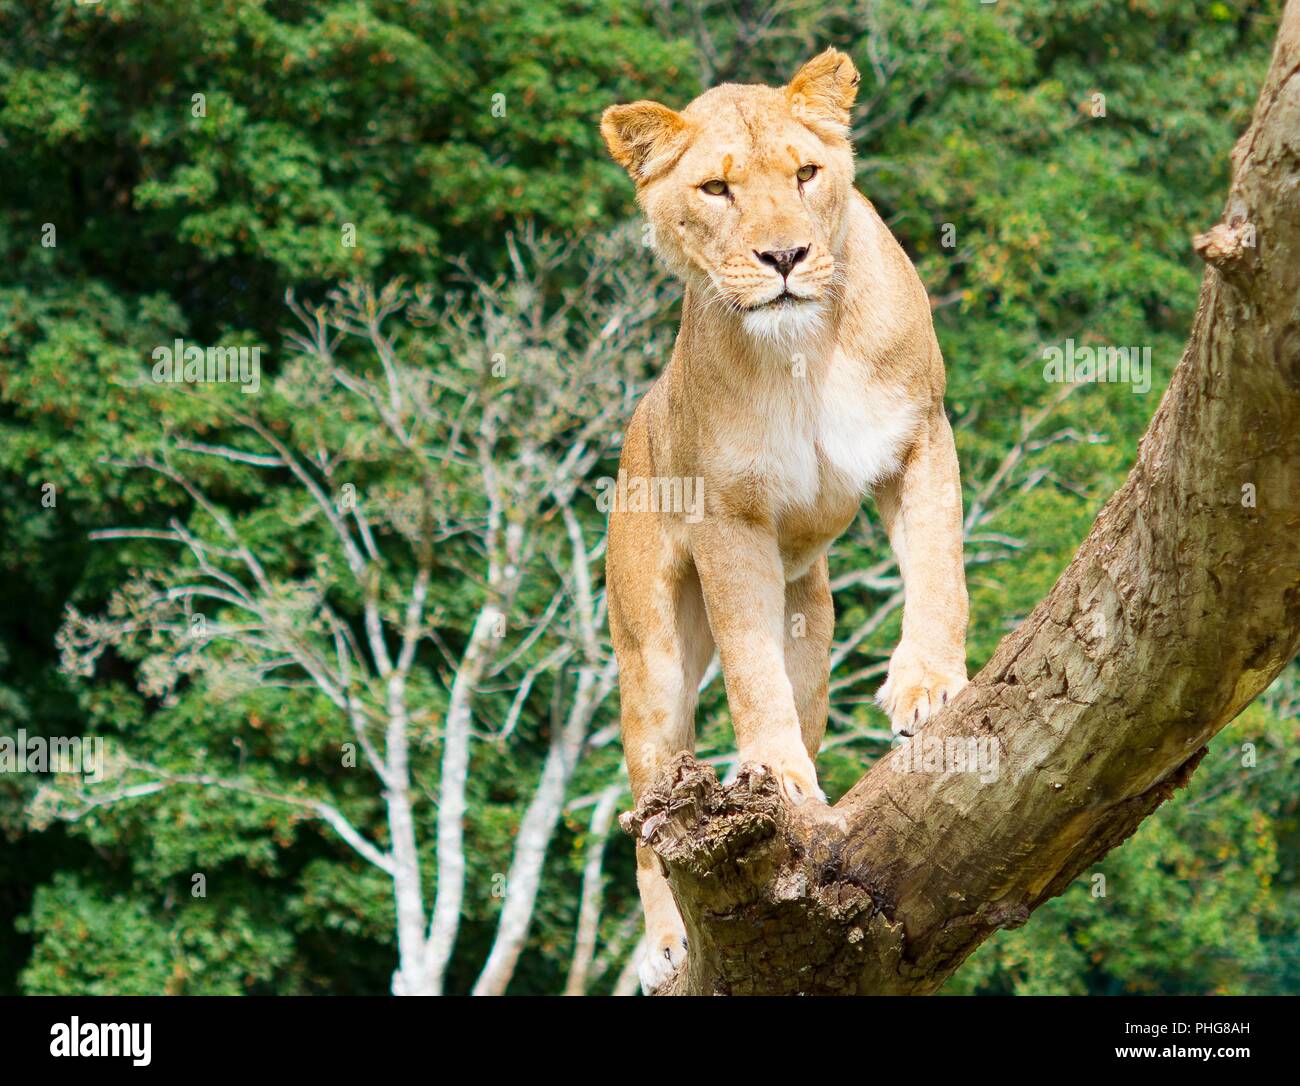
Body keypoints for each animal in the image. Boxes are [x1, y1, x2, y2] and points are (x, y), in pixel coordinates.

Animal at [600, 49, 969, 992]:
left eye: (806, 173)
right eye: (716, 189)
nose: (785, 256)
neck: (802, 349)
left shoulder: (919, 436)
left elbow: (940, 571)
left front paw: (926, 686)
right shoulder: (731, 519)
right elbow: (746, 669)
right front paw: (774, 774)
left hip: (812, 621)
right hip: (650, 658)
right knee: (647, 812)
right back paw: (666, 944)